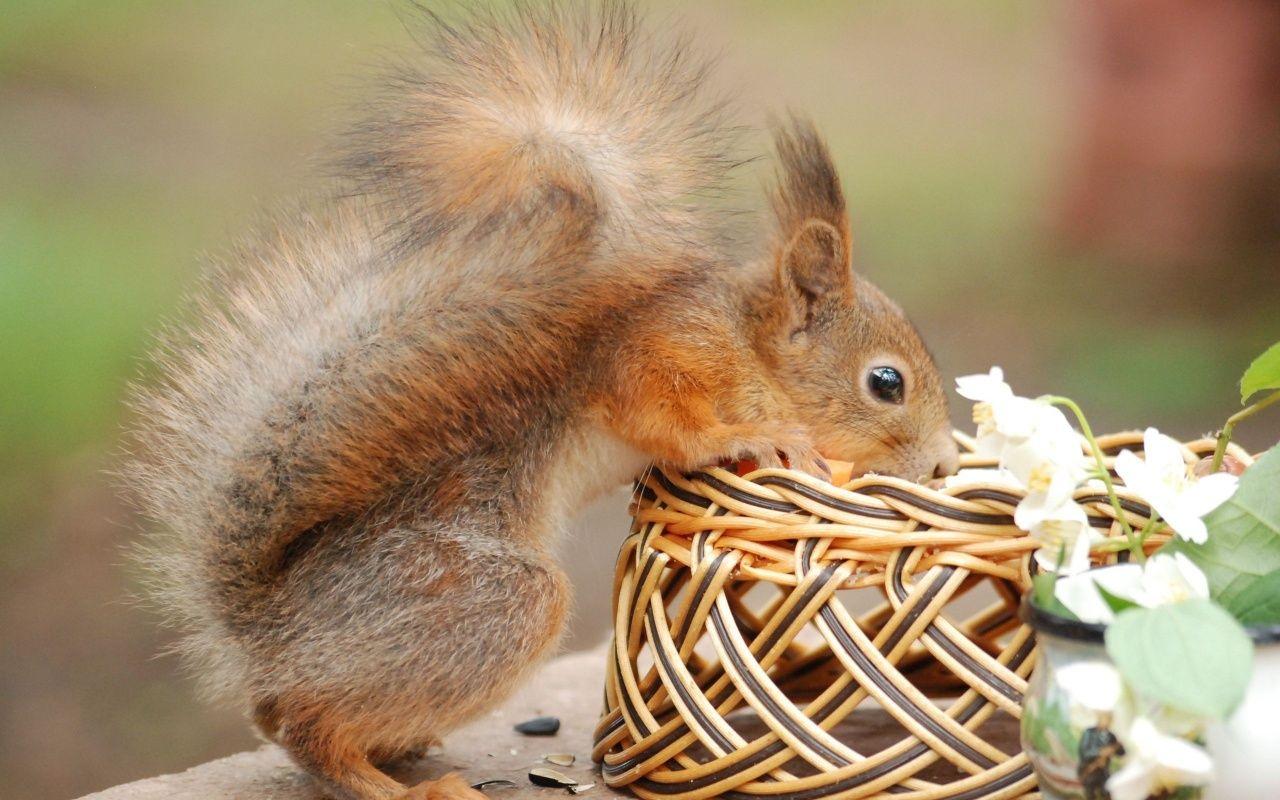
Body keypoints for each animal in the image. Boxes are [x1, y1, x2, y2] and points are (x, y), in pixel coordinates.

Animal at [125, 4, 959, 800]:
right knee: (303, 725)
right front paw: (756, 439)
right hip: (484, 600)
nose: (943, 462)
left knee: (281, 714)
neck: (749, 343)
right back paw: (408, 787)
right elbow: (662, 416)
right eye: (887, 383)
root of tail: (266, 631)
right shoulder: (661, 352)